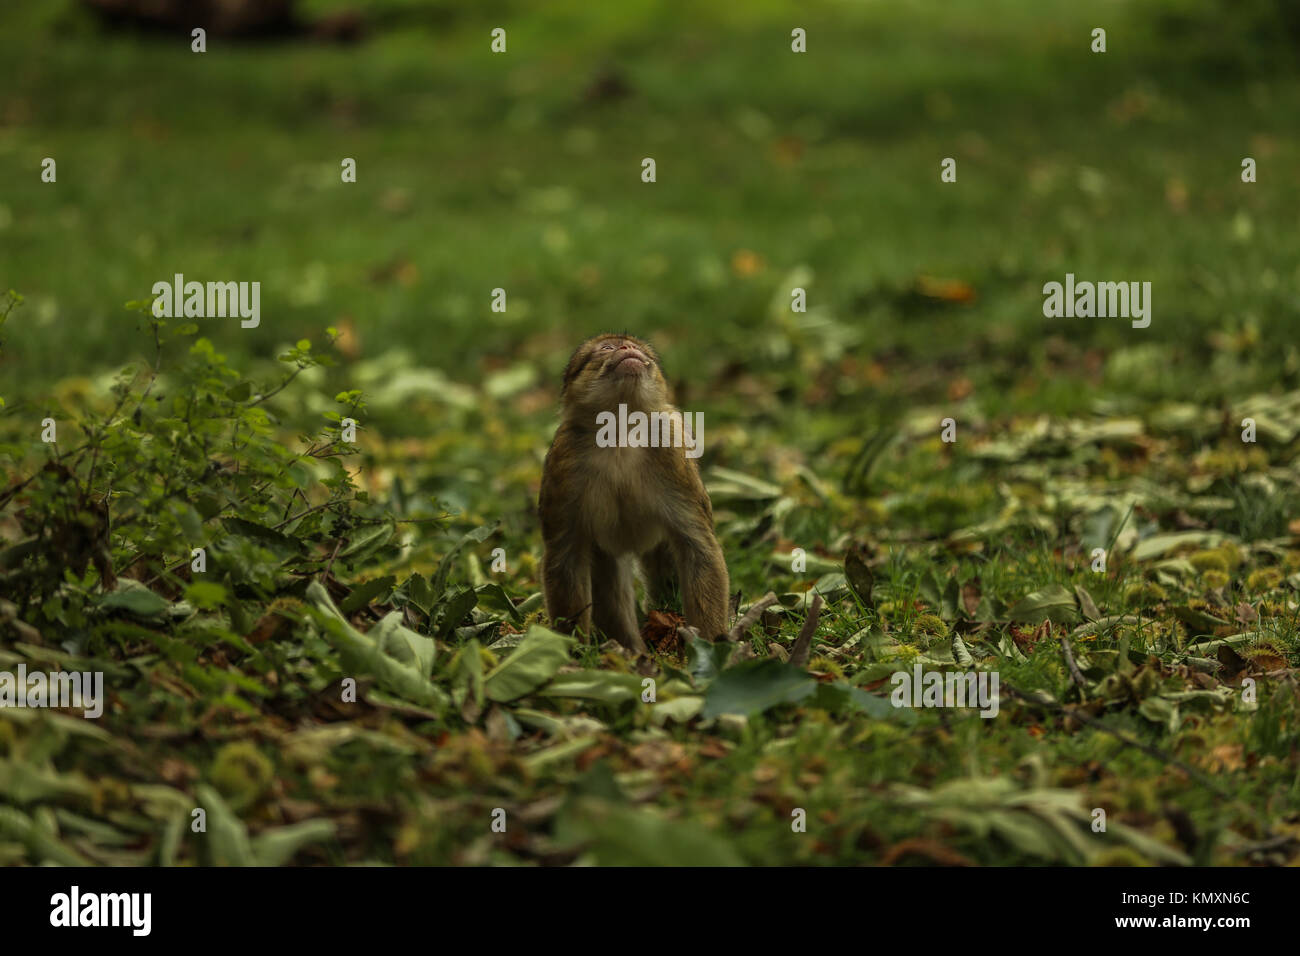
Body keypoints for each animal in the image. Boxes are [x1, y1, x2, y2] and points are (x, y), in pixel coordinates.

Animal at [538, 333, 730, 652]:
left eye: (636, 348)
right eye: (607, 348)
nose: (628, 349)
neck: (618, 434)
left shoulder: (672, 450)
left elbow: (697, 546)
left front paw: (712, 649)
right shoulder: (563, 461)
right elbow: (565, 556)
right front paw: (574, 652)